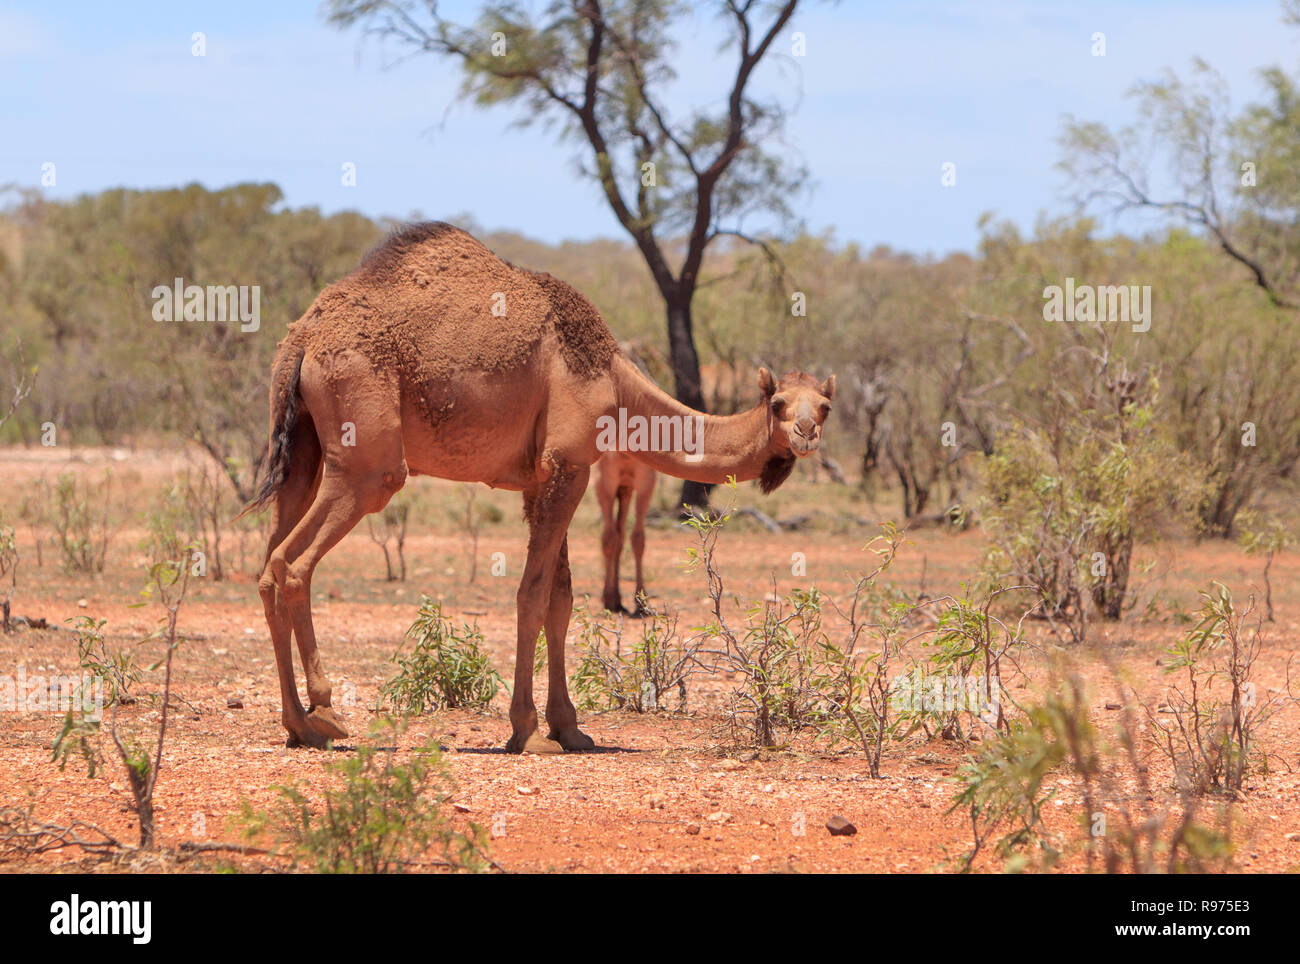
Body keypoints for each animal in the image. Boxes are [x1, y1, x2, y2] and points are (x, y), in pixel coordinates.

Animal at [592, 451, 657, 615]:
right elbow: (608, 539)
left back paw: (619, 600)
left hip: (626, 487)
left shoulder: (646, 478)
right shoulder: (603, 479)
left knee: (620, 535)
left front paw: (641, 602)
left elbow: (638, 539)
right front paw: (608, 599)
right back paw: (612, 598)